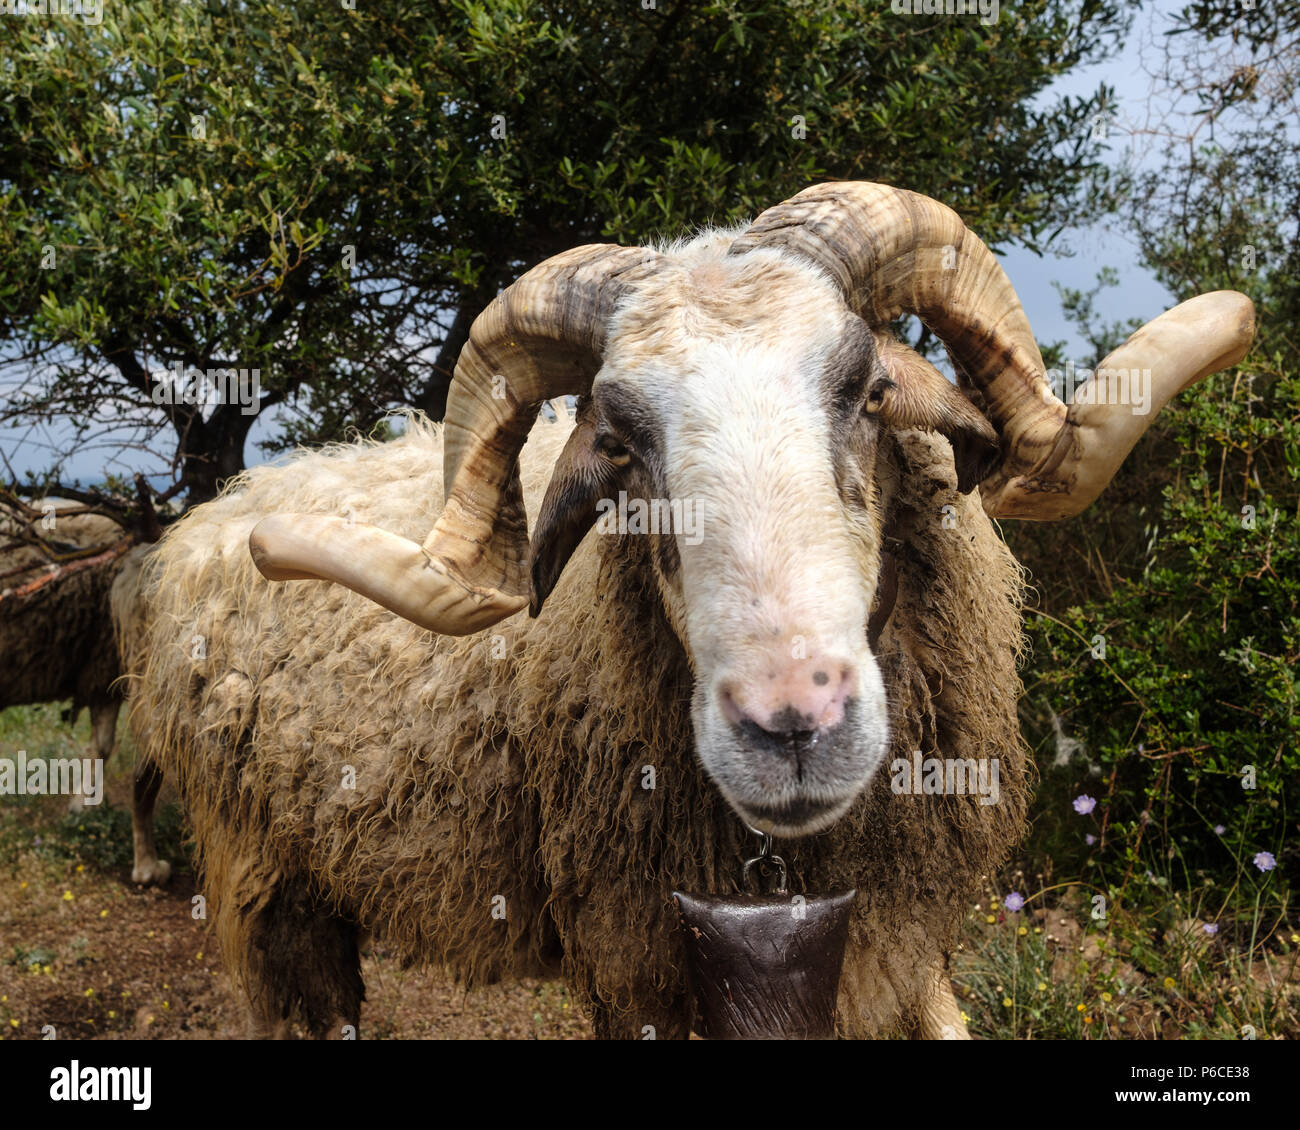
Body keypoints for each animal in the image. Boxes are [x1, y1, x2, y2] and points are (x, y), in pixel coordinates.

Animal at [127, 182, 1255, 1039]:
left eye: (867, 387)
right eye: (618, 442)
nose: (790, 723)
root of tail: (217, 515)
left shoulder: (899, 937)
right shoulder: (636, 960)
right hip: (261, 880)